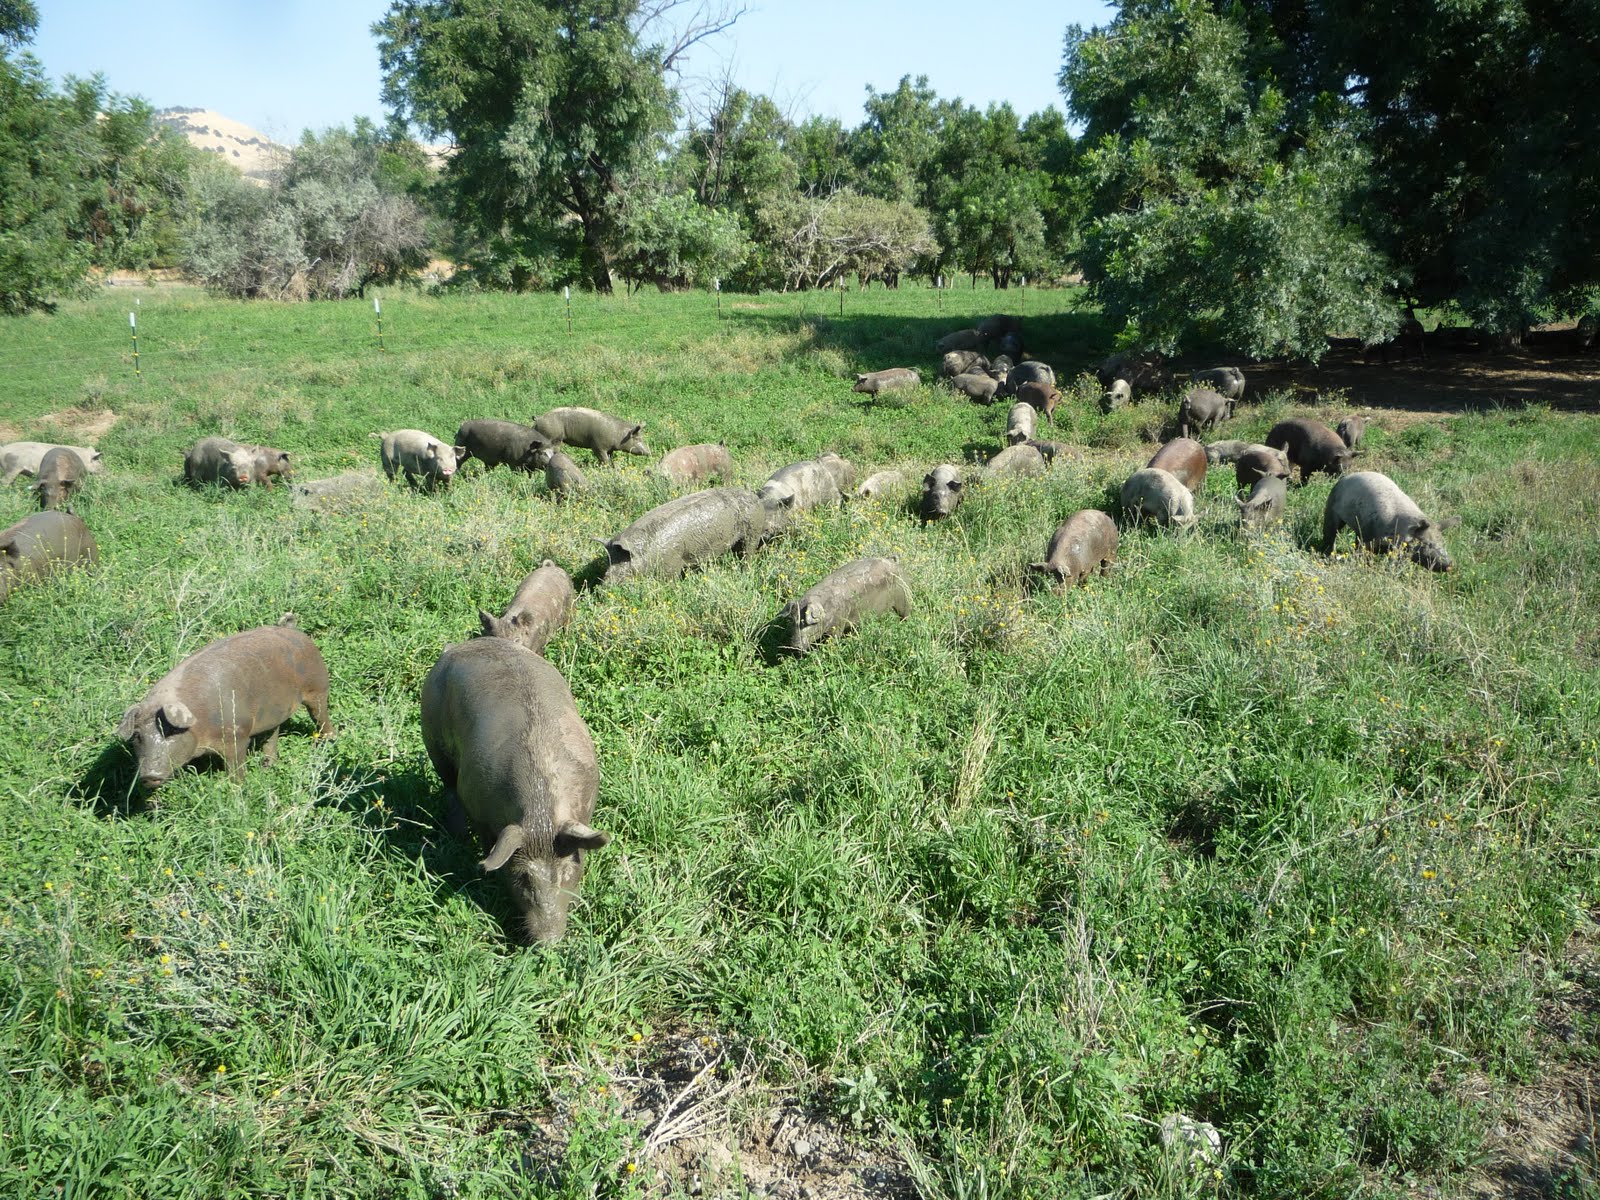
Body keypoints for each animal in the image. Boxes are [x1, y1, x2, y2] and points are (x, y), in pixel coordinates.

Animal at [115, 619, 332, 790]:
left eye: (171, 731)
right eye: (137, 736)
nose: (149, 774)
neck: (201, 724)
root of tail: (291, 629)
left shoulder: (237, 734)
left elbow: (235, 768)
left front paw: (238, 791)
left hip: (317, 687)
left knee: (321, 716)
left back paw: (329, 742)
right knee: (273, 734)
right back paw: (267, 766)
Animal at [420, 637, 609, 944]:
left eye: (566, 872)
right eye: (522, 876)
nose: (548, 941)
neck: (540, 815)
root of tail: (456, 647)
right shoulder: (479, 807)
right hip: (432, 737)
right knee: (449, 789)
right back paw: (457, 836)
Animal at [602, 487, 771, 584]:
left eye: (624, 559)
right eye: (610, 560)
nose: (604, 585)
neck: (648, 550)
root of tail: (756, 497)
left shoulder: (671, 564)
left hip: (753, 530)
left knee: (748, 552)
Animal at [780, 557, 912, 655]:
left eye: (806, 623)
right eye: (793, 621)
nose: (795, 646)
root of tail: (895, 562)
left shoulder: (839, 622)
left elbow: (834, 639)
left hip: (905, 597)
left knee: (905, 614)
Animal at [1320, 471, 1458, 572]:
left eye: (1443, 542)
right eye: (1428, 544)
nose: (1450, 564)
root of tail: (1345, 478)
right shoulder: (1371, 536)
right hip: (1331, 507)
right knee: (1330, 533)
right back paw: (1327, 555)